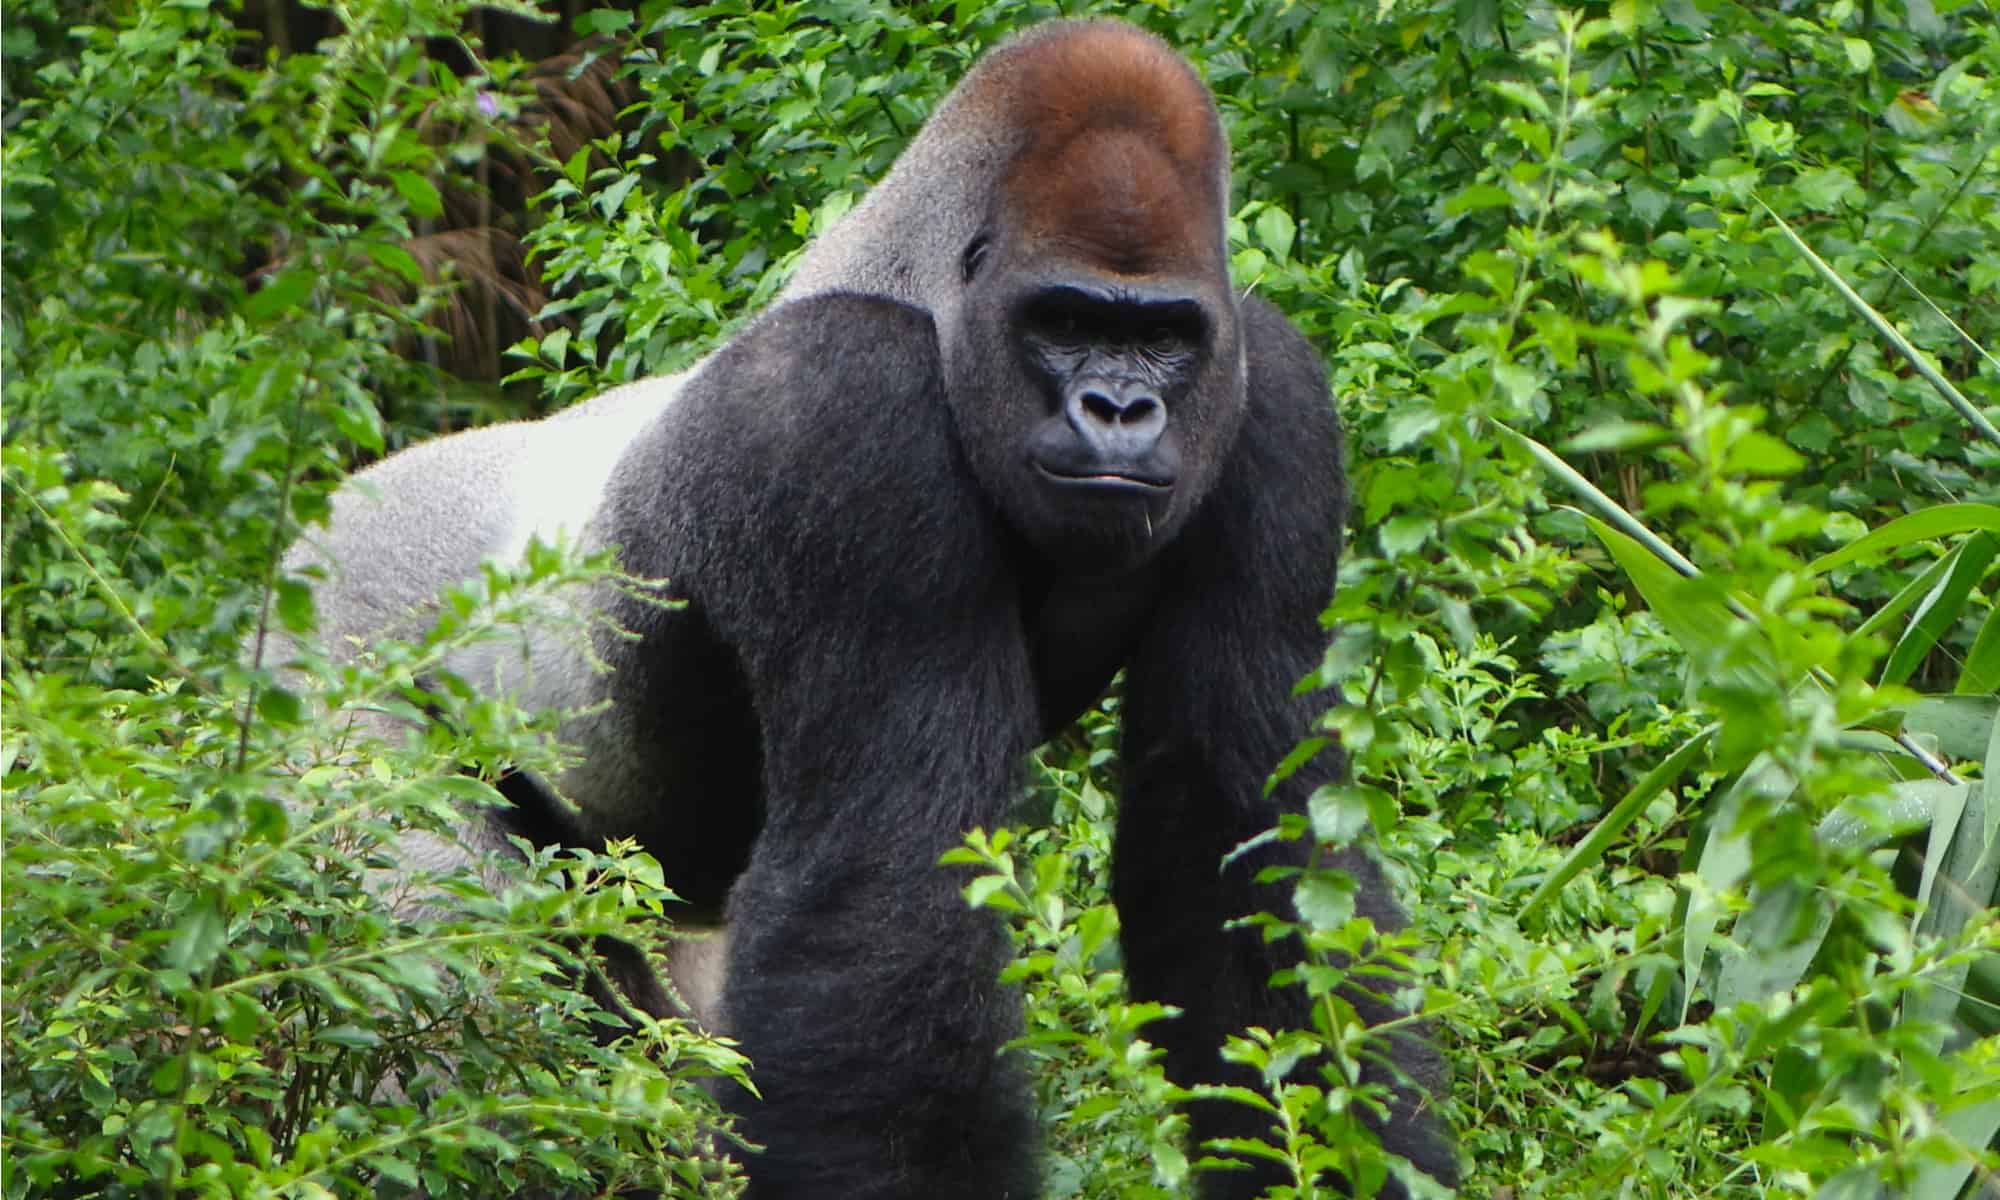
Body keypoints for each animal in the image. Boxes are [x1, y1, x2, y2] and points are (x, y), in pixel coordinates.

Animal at [280, 18, 1457, 1199]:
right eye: (1064, 320)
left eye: (1165, 335)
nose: (1121, 409)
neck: (921, 297)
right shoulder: (843, 406)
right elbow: (889, 902)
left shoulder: (1276, 399)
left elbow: (1251, 842)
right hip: (325, 661)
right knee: (432, 973)